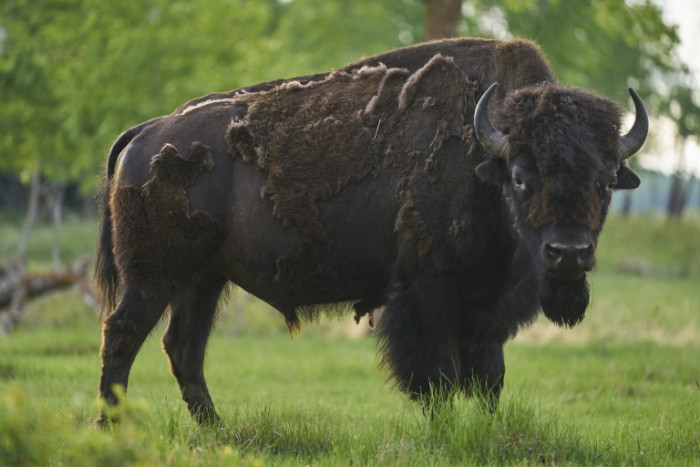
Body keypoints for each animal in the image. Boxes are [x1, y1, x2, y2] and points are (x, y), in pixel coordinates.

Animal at [94, 38, 647, 424]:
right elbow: (438, 377)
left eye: (605, 181)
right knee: (123, 335)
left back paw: (216, 429)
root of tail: (146, 133)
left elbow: (490, 378)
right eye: (520, 176)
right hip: (153, 277)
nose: (568, 253)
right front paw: (444, 430)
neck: (482, 161)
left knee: (183, 348)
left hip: (203, 279)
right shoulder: (426, 296)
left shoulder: (487, 307)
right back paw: (111, 427)